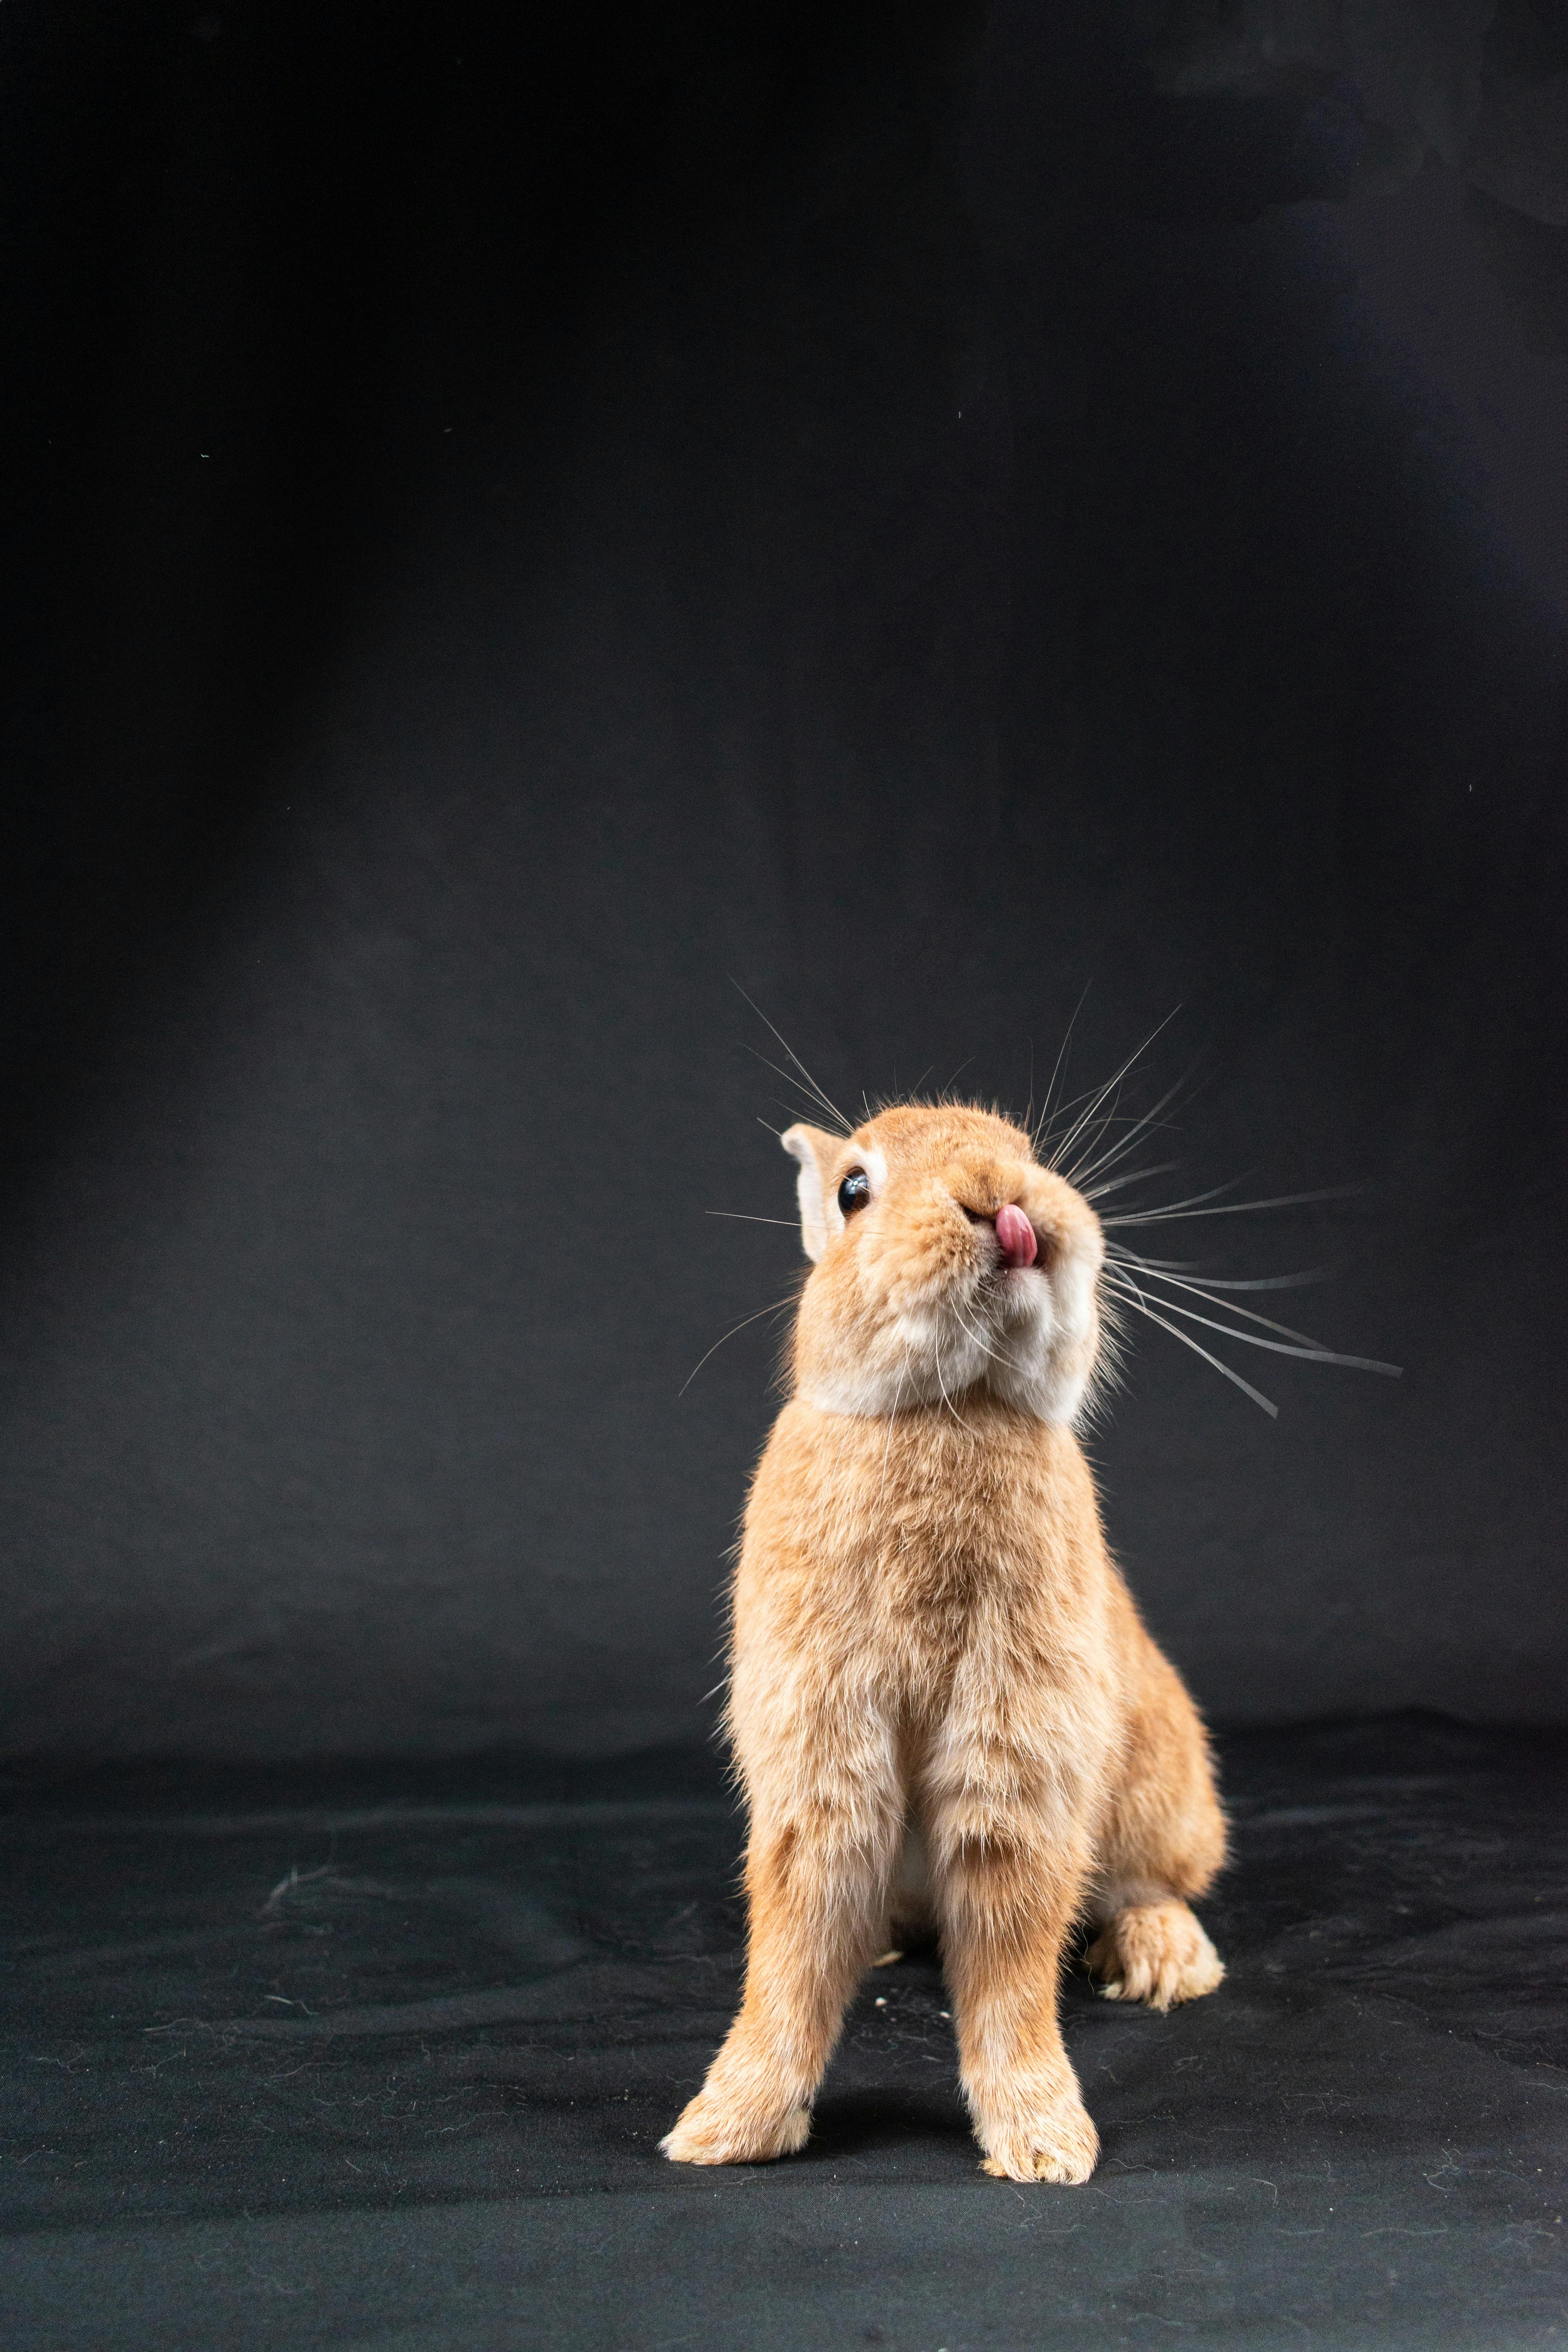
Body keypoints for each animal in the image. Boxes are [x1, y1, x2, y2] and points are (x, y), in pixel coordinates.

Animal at [661, 1101, 1226, 2185]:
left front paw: (1044, 2145)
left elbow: (1010, 1953)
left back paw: (1161, 1960)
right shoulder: (819, 1754)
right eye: (853, 1190)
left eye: (1030, 1154)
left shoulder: (1016, 1748)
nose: (999, 1197)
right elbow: (793, 1945)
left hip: (1159, 1787)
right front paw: (721, 2131)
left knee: (1154, 1882)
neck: (943, 1410)